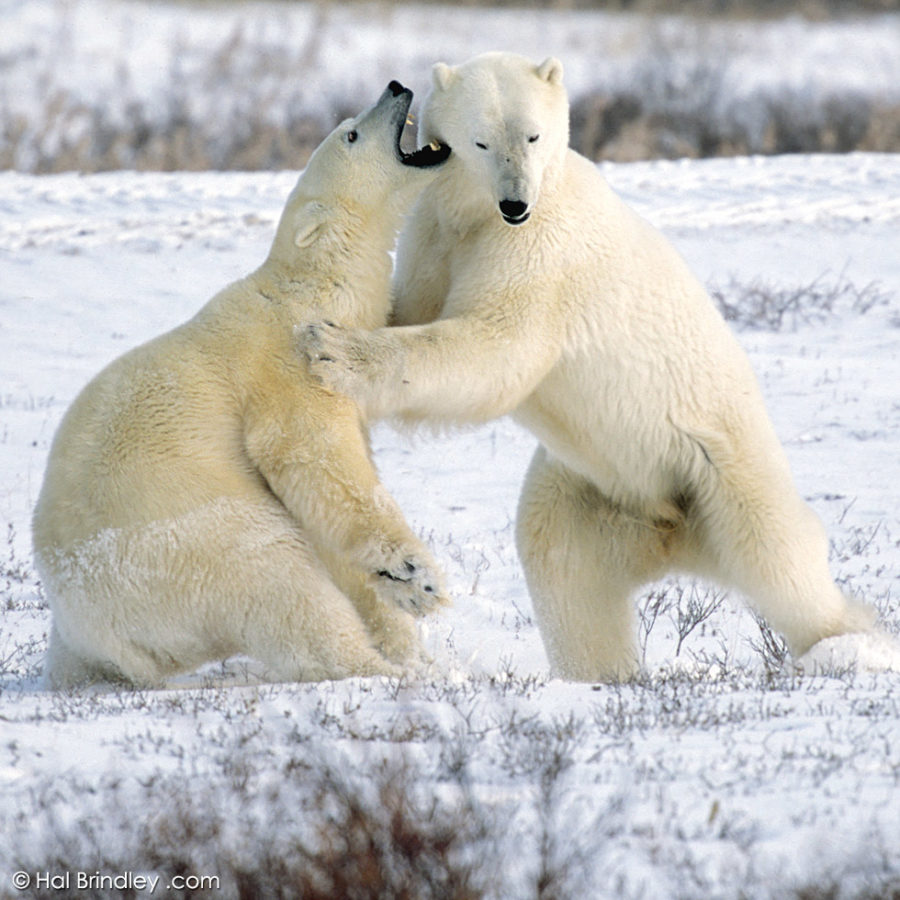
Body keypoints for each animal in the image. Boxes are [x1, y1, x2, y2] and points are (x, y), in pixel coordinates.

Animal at [32, 81, 452, 689]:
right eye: (351, 133)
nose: (395, 87)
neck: (312, 288)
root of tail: (92, 630)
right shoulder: (288, 366)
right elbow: (317, 462)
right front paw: (417, 576)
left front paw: (402, 611)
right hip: (184, 538)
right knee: (278, 577)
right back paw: (385, 671)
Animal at [301, 52, 875, 682]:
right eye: (480, 141)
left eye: (532, 135)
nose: (515, 203)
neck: (480, 211)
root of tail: (676, 532)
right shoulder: (436, 231)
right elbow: (415, 307)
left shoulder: (540, 251)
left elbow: (494, 348)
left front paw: (333, 351)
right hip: (595, 486)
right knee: (563, 561)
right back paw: (598, 673)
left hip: (719, 464)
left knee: (777, 557)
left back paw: (848, 645)